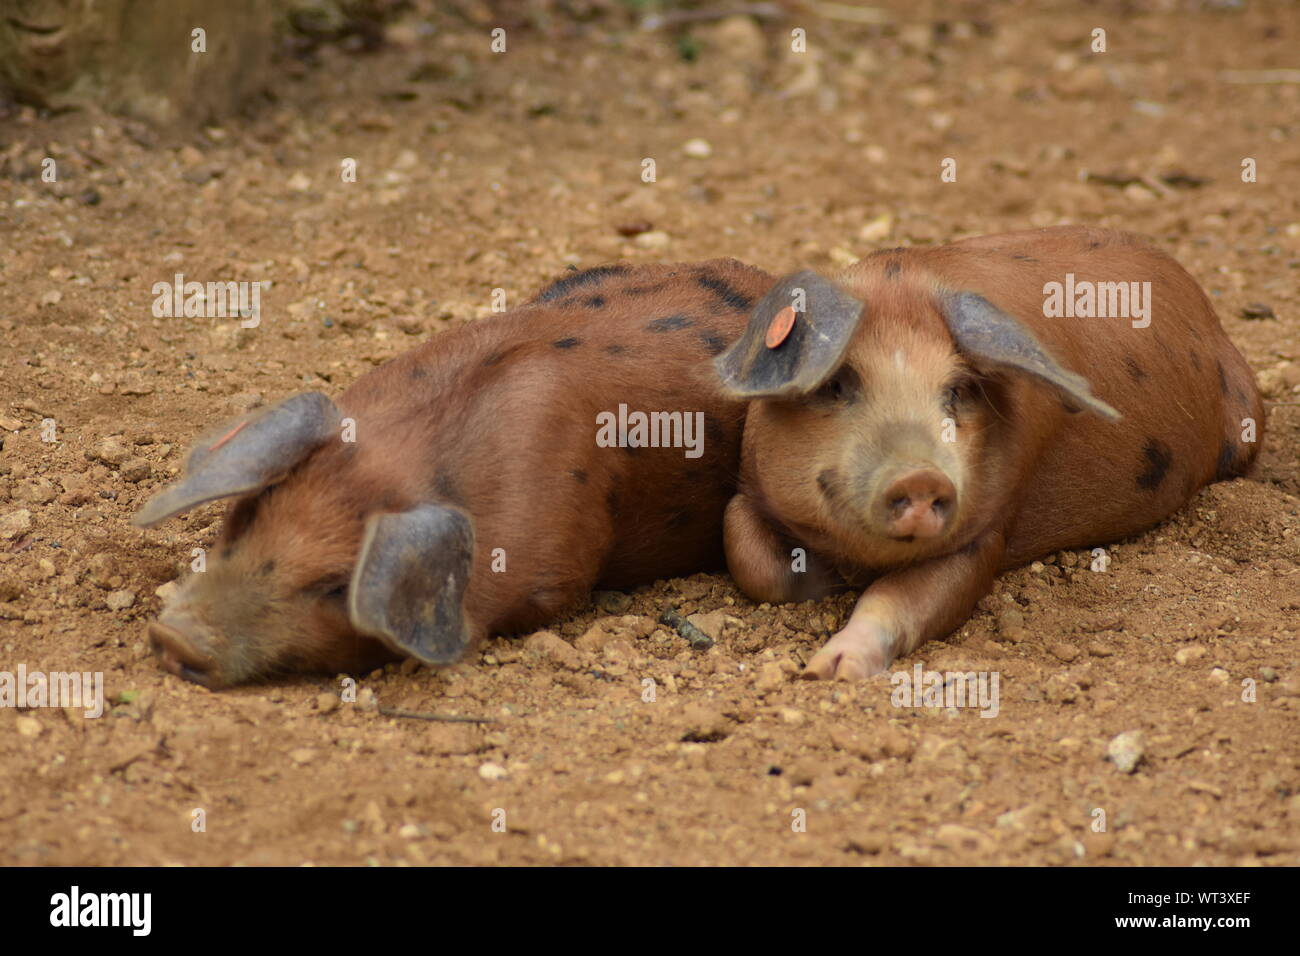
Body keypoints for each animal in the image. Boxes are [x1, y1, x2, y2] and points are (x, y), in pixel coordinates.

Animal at [713, 226, 1263, 680]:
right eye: (837, 384)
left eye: (956, 391)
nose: (920, 476)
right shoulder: (748, 488)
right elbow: (745, 549)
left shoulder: (988, 531)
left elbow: (907, 599)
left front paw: (829, 670)